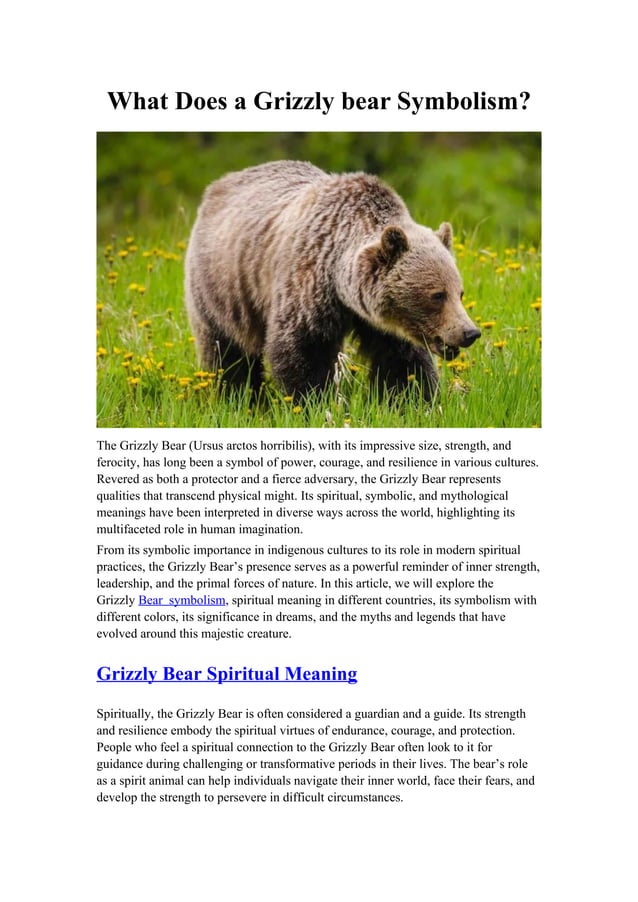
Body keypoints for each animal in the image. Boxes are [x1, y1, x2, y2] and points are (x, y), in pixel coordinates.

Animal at [185, 160, 480, 399]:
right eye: (437, 295)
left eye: (460, 293)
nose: (469, 332)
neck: (340, 282)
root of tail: (217, 185)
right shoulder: (309, 283)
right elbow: (304, 351)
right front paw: (313, 400)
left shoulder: (383, 324)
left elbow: (403, 363)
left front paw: (414, 401)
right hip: (222, 287)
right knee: (227, 353)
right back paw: (239, 398)